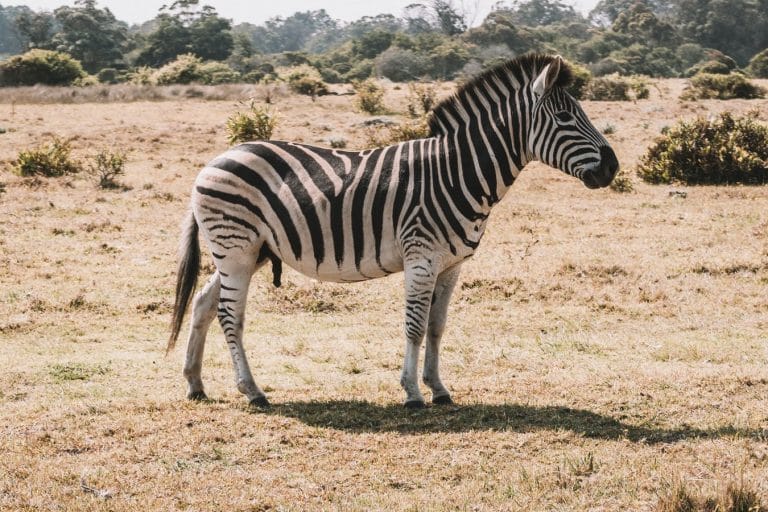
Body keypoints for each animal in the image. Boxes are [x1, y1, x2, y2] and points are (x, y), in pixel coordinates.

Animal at [168, 53, 619, 408]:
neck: (457, 173)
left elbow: (437, 326)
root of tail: (215, 159)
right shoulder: (421, 257)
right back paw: (253, 391)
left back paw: (195, 383)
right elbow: (414, 326)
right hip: (236, 247)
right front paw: (412, 393)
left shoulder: (451, 265)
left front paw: (439, 389)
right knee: (230, 314)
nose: (613, 167)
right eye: (565, 116)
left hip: (252, 250)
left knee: (203, 303)